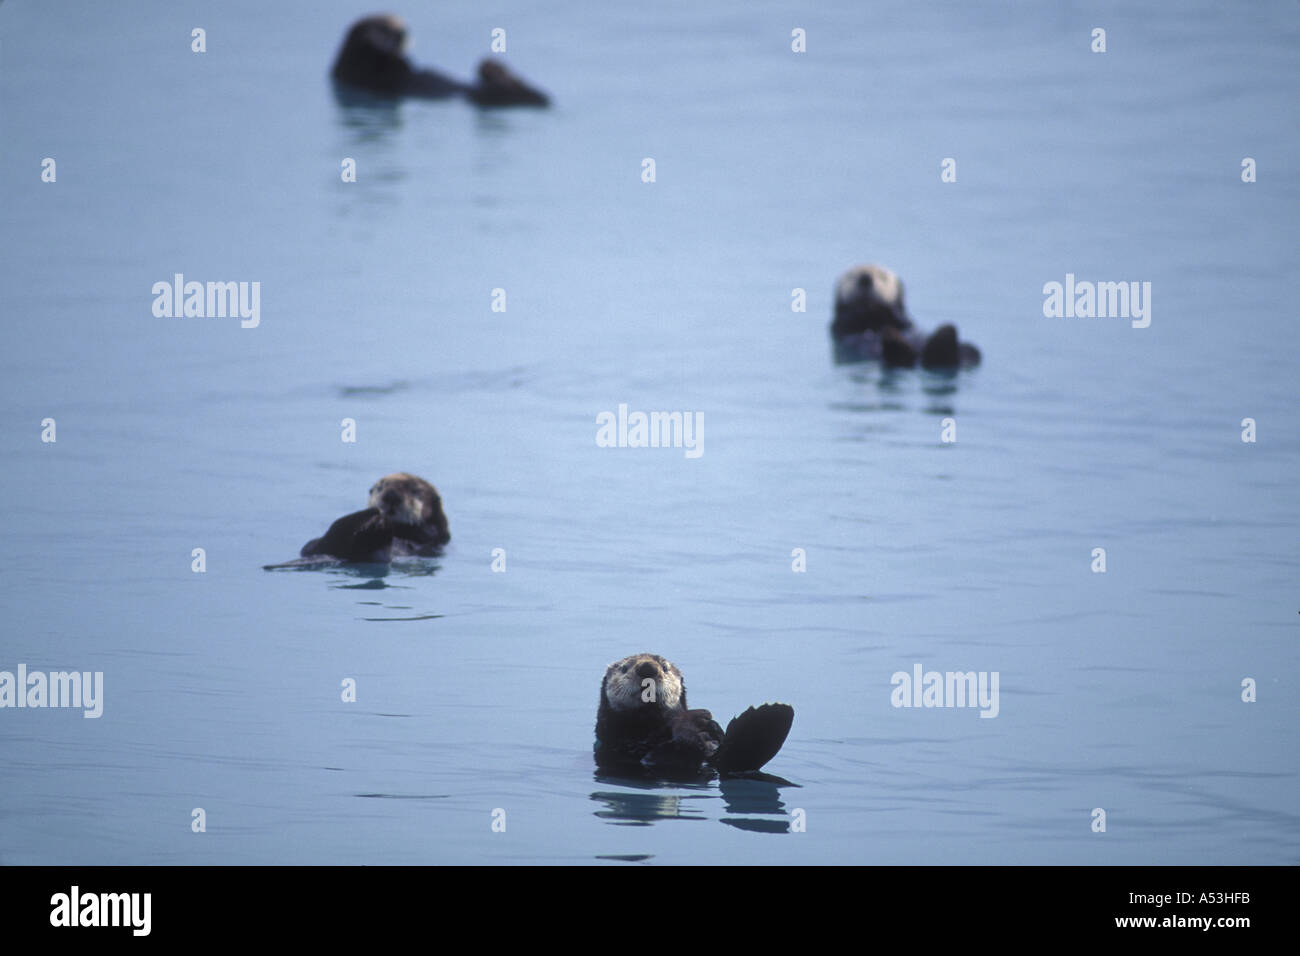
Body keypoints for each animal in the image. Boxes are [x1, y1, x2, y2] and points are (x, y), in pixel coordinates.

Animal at [331, 14, 549, 106]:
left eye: (399, 22)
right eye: (385, 27)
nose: (404, 32)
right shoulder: (361, 70)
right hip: (489, 96)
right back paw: (491, 68)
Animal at [594, 653, 794, 778]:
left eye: (665, 667)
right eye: (624, 668)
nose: (647, 668)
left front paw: (709, 724)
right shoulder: (621, 747)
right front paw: (696, 718)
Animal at [831, 264, 981, 369]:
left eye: (882, 276)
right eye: (851, 276)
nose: (865, 278)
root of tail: (920, 358)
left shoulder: (905, 318)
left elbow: (904, 320)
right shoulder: (842, 322)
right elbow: (851, 319)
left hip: (970, 350)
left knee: (969, 353)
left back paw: (946, 333)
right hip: (886, 354)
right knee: (900, 356)